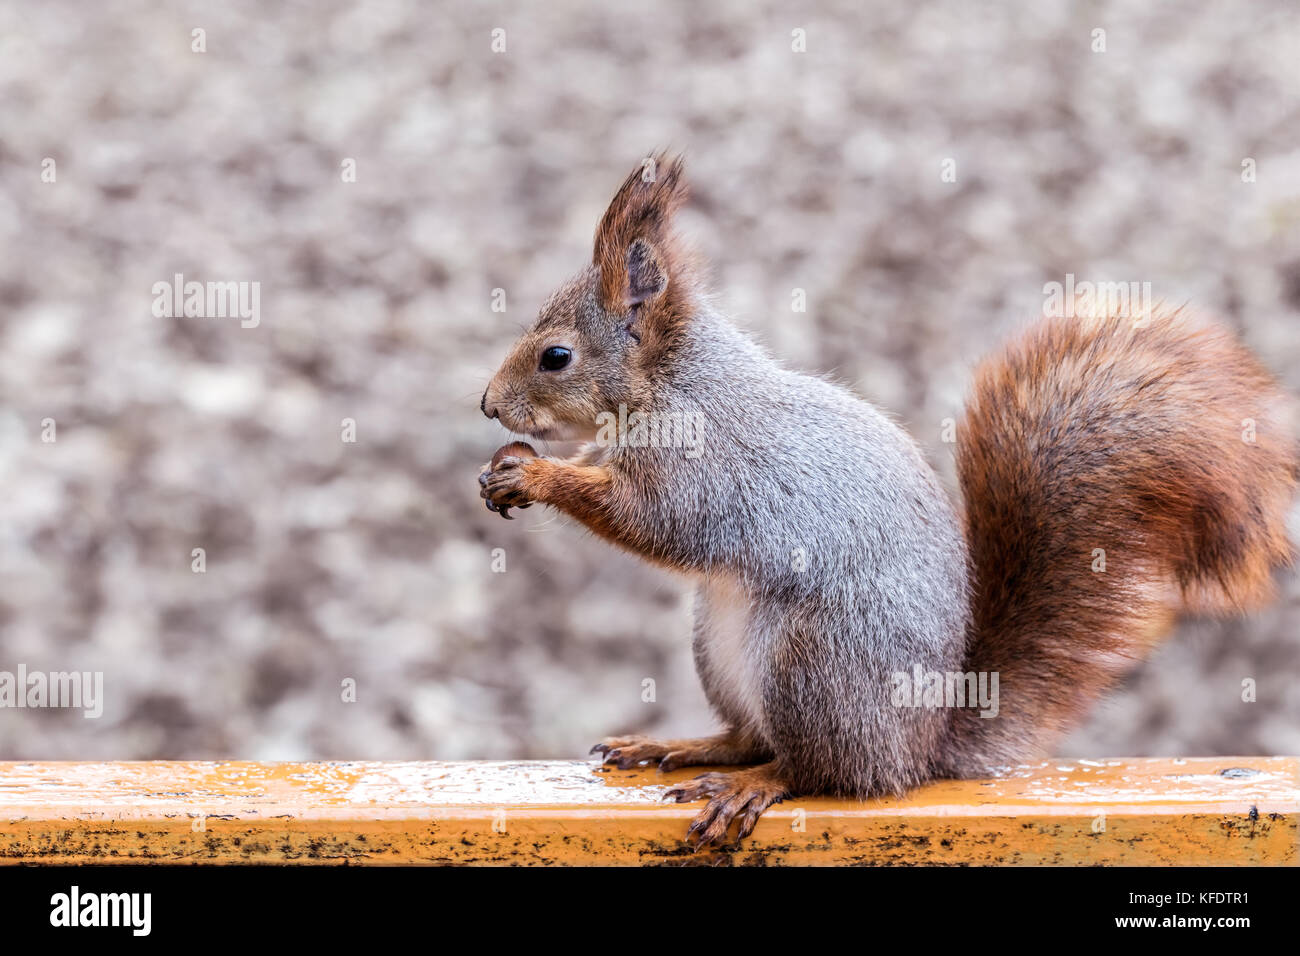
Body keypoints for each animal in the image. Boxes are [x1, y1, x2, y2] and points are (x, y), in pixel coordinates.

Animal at [478, 153, 1299, 848]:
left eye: (557, 356)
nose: (487, 405)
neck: (674, 384)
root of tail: (919, 747)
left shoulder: (706, 469)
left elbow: (654, 523)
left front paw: (538, 477)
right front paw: (511, 465)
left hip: (813, 661)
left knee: (825, 772)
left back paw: (756, 785)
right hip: (719, 644)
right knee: (751, 737)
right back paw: (677, 746)